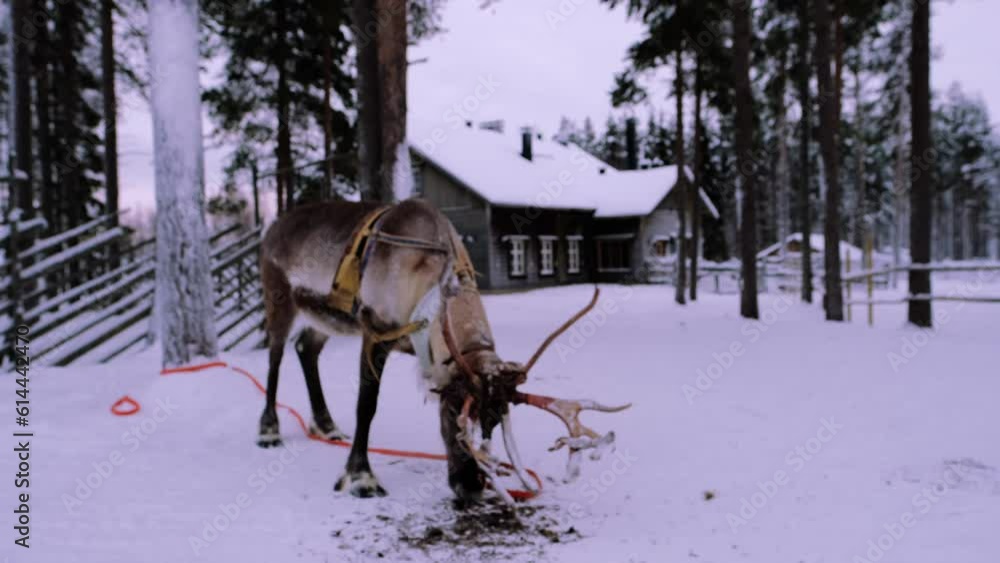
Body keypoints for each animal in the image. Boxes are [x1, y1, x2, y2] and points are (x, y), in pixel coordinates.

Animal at [257, 198, 630, 502]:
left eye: (493, 421)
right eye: (453, 410)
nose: (472, 488)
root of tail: (272, 227)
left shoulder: (420, 350)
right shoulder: (374, 331)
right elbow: (366, 406)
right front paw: (361, 478)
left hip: (323, 319)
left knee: (305, 349)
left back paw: (326, 425)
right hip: (279, 298)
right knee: (275, 355)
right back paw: (269, 429)